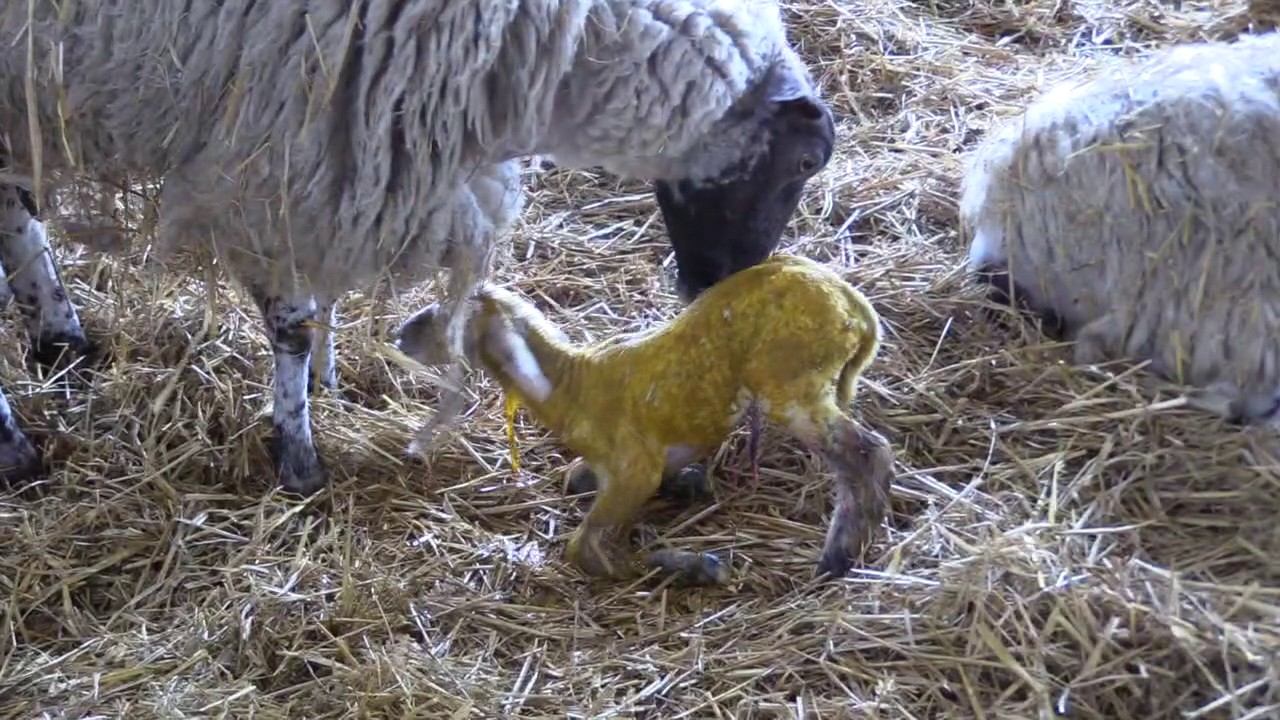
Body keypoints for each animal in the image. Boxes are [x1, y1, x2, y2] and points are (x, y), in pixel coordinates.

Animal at [0, 0, 838, 491]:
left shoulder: (336, 139)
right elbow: (290, 319)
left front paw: (327, 385)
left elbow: (319, 295)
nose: (719, 285)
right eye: (804, 164)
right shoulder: (290, 141)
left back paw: (59, 337)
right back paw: (18, 443)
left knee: (15, 220)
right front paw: (297, 454)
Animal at [394, 253, 895, 586]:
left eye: (449, 316)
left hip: (791, 385)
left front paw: (696, 565)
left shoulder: (634, 468)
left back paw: (837, 558)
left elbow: (588, 551)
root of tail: (856, 309)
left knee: (867, 452)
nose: (399, 336)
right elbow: (576, 481)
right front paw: (691, 485)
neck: (572, 385)